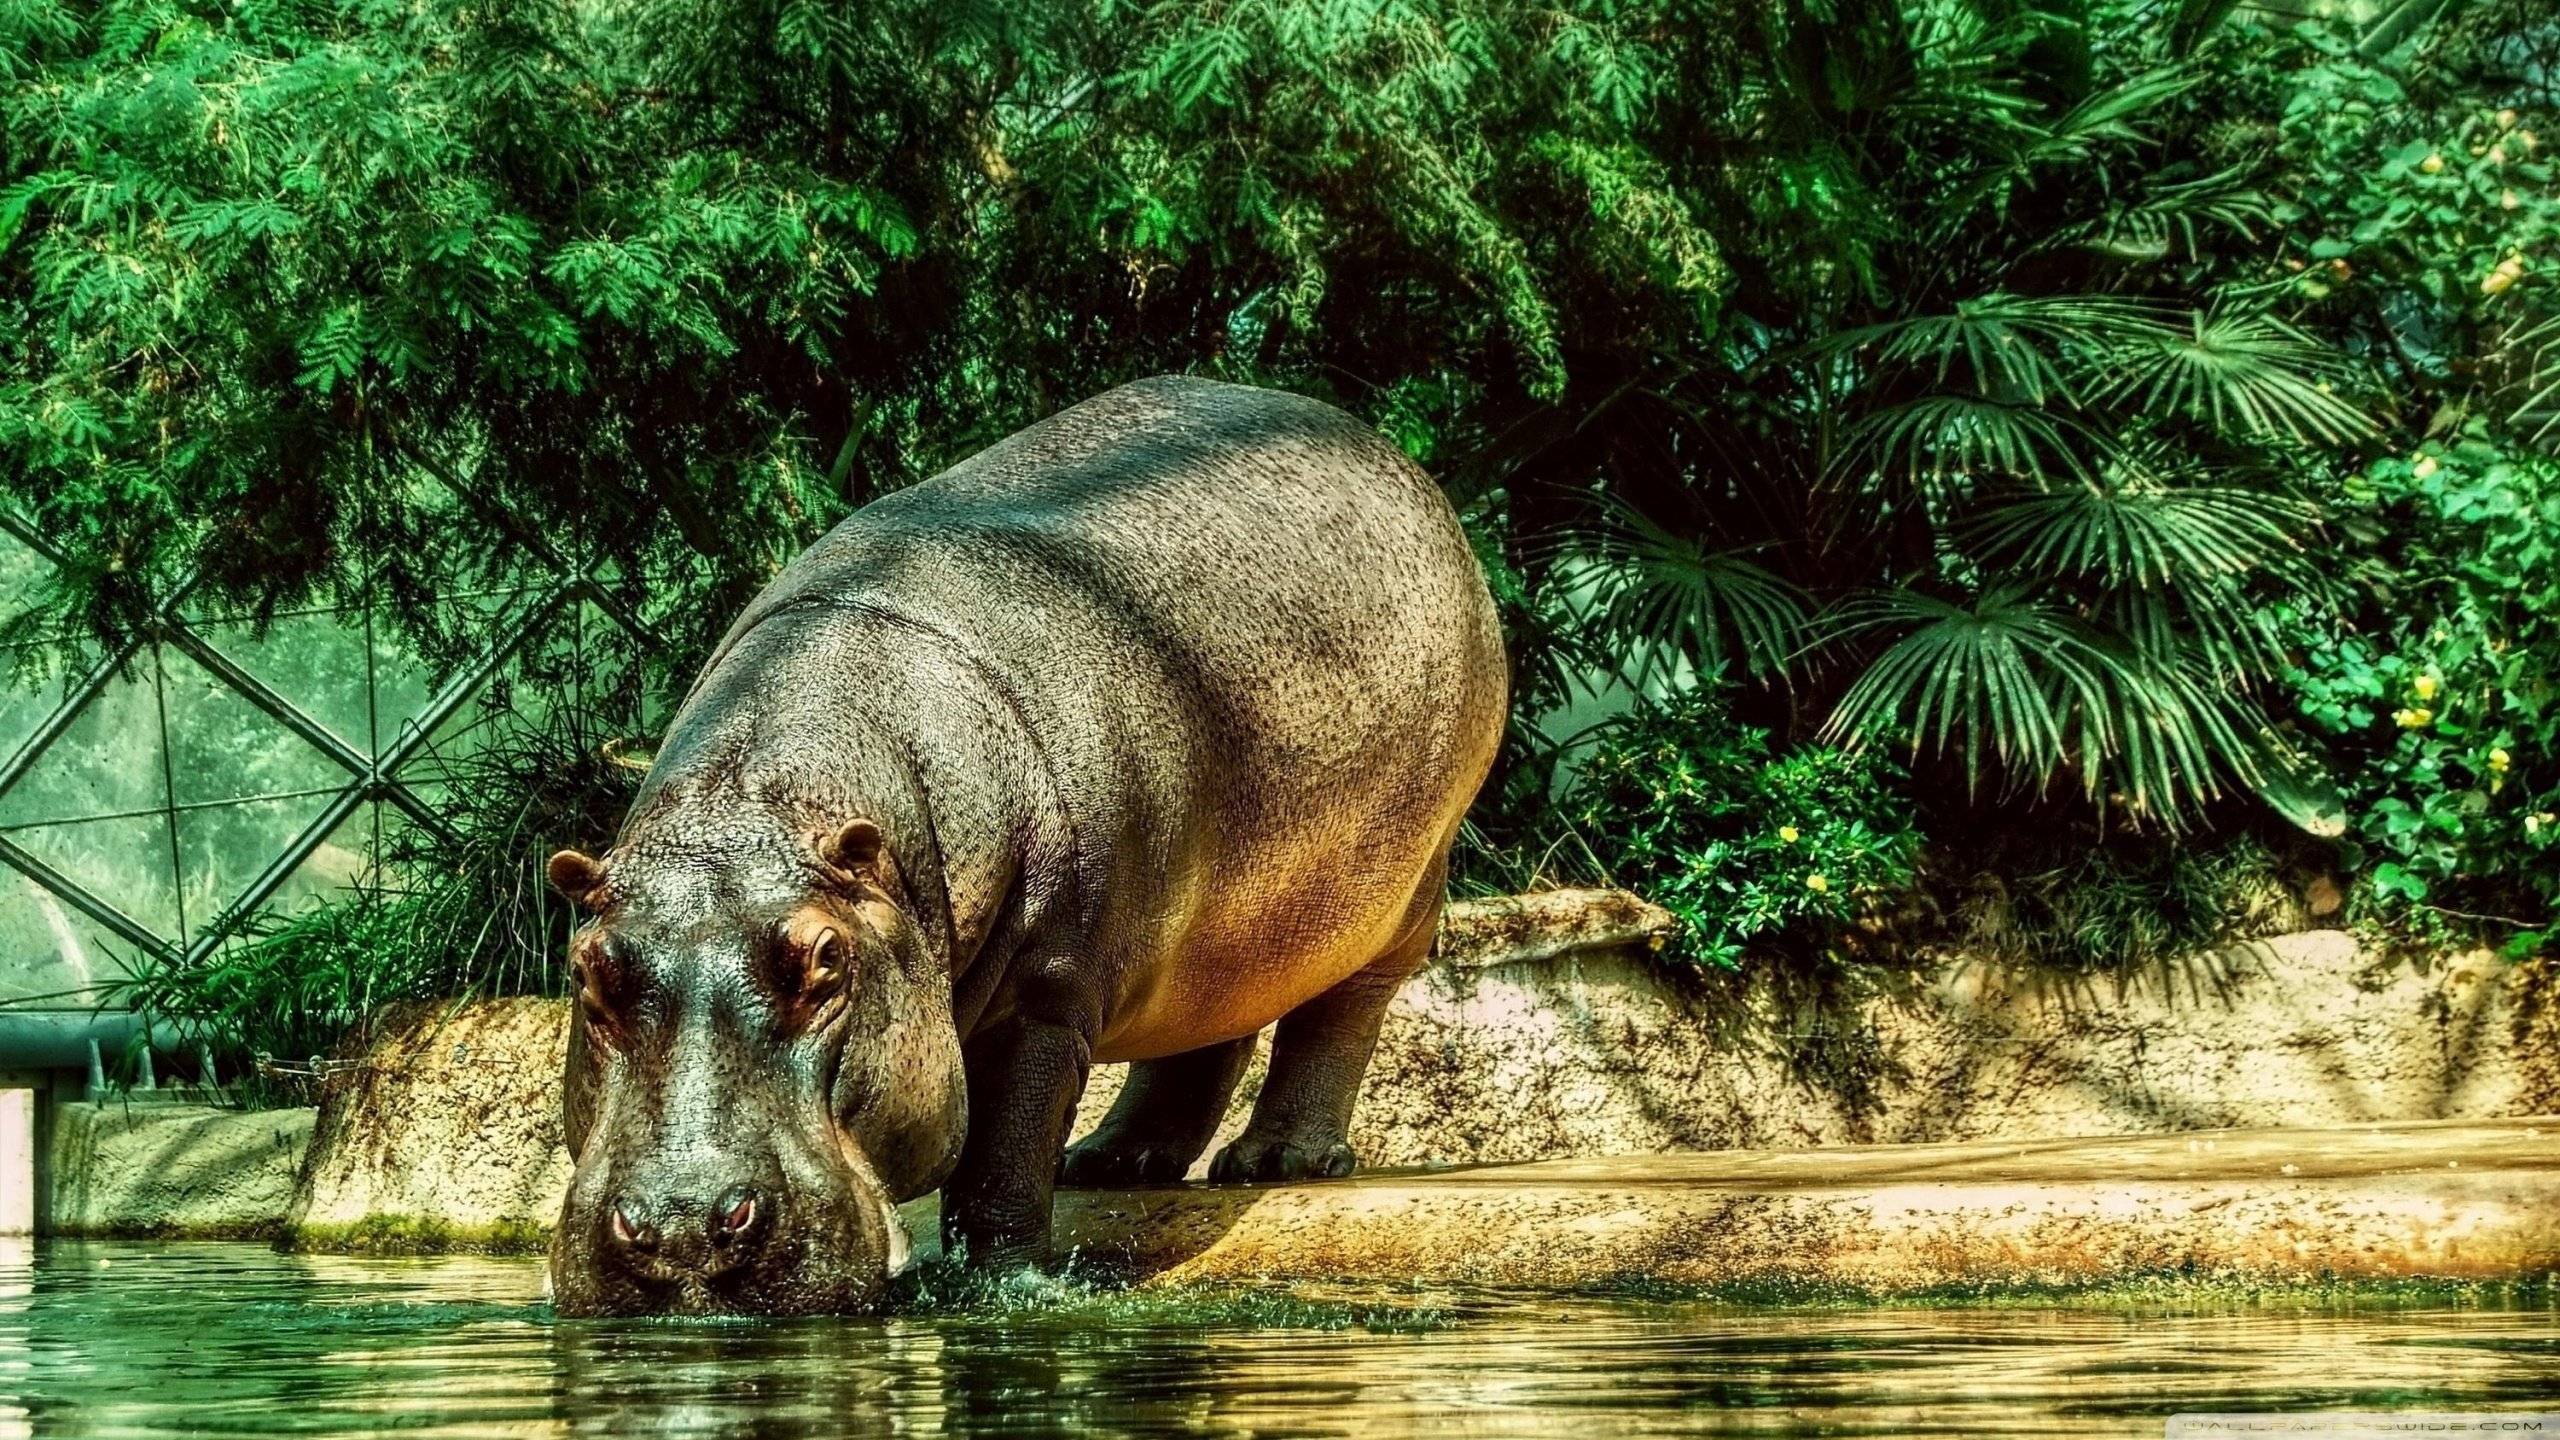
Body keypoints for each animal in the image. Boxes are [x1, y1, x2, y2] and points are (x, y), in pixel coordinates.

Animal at [542, 375, 1507, 1315]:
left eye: (825, 960)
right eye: (587, 970)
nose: (683, 1228)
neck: (764, 804)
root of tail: (1394, 461)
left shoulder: (1046, 992)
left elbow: (1005, 1153)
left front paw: (1001, 1284)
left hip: (1403, 886)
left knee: (1341, 1011)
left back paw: (1277, 1161)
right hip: (1219, 921)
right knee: (1210, 1030)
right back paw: (1112, 1163)